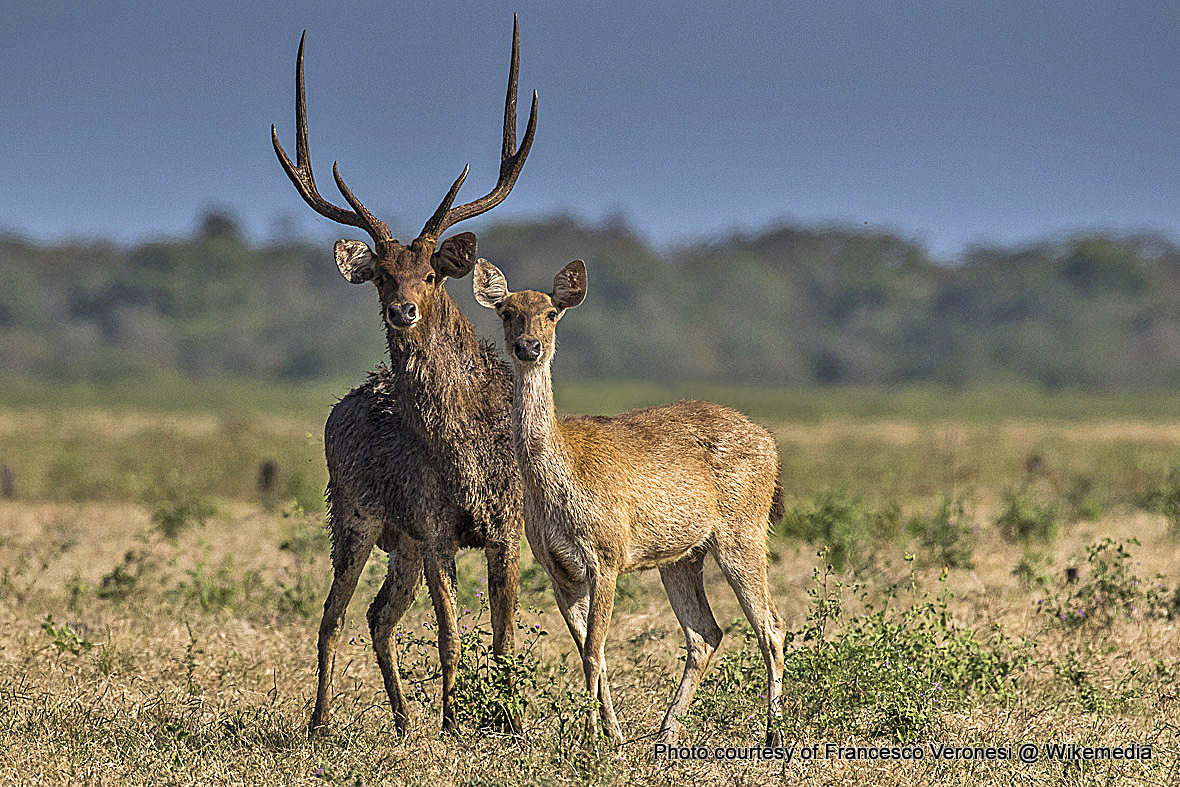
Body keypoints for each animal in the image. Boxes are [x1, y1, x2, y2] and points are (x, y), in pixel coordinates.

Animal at [270, 17, 537, 738]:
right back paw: (321, 721)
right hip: (354, 514)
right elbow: (450, 633)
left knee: (377, 615)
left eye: (432, 272)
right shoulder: (434, 523)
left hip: (400, 544)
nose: (403, 309)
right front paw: (453, 721)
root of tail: (341, 404)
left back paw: (399, 719)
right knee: (333, 616)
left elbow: (506, 636)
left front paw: (507, 721)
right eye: (383, 275)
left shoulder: (507, 524)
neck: (468, 451)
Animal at [472, 259, 788, 747]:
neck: (560, 481)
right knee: (705, 632)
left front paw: (590, 739)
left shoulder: (607, 555)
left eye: (551, 312)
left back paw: (774, 735)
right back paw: (665, 733)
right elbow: (592, 652)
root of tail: (771, 446)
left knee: (771, 627)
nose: (529, 346)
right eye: (507, 312)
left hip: (743, 532)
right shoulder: (559, 571)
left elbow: (593, 651)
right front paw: (614, 737)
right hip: (681, 556)